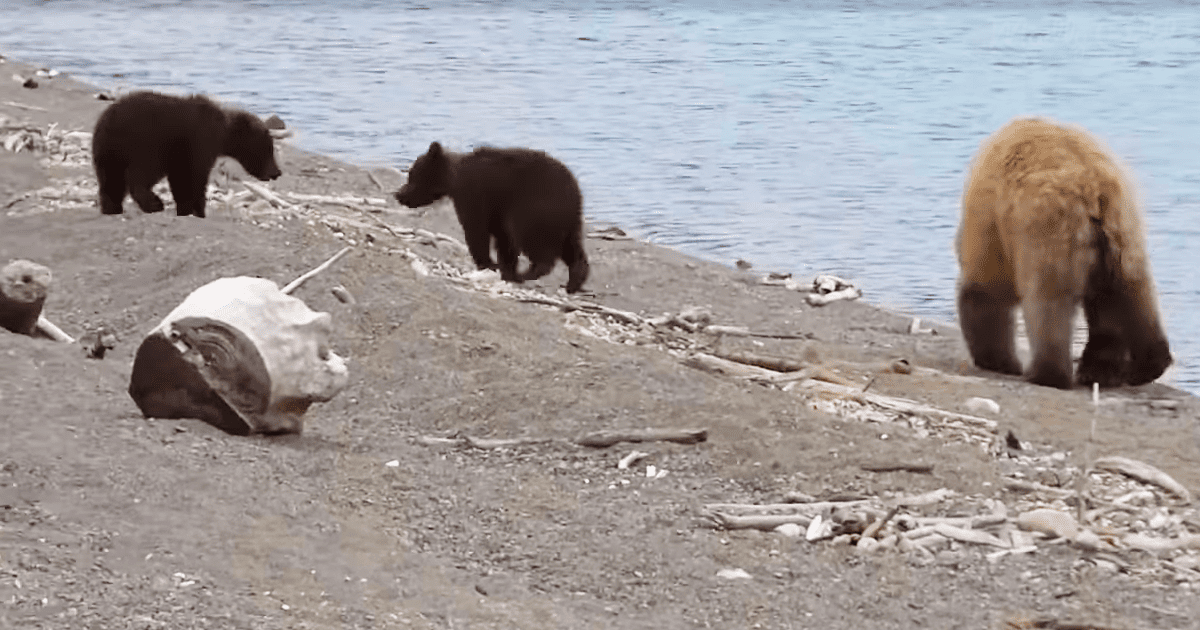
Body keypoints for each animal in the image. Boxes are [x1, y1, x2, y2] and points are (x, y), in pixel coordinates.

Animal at [91, 91, 284, 218]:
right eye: (268, 150)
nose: (276, 172)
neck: (223, 133)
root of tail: (109, 120)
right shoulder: (198, 144)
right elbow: (195, 178)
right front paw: (199, 210)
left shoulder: (181, 155)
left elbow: (180, 180)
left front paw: (185, 209)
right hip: (146, 143)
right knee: (140, 174)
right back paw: (154, 204)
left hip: (108, 150)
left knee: (111, 180)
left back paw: (112, 208)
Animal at [393, 142, 590, 293]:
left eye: (412, 175)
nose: (399, 195)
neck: (453, 179)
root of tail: (576, 193)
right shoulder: (497, 210)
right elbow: (503, 241)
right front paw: (505, 269)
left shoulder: (475, 196)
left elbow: (476, 231)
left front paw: (489, 264)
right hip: (567, 221)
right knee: (573, 249)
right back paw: (573, 282)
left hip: (536, 208)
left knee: (534, 241)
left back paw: (527, 273)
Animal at [956, 117, 1172, 389]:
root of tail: (1095, 188)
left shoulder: (990, 220)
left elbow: (988, 289)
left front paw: (1000, 361)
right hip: (1124, 232)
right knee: (1132, 292)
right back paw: (1140, 368)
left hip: (1049, 232)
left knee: (1047, 304)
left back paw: (1046, 374)